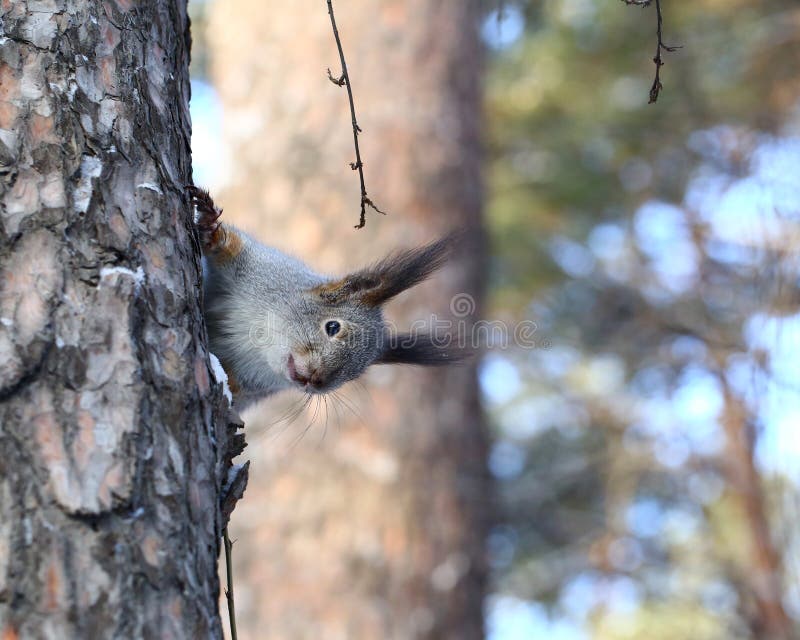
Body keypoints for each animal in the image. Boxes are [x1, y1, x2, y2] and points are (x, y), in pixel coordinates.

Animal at [187, 186, 465, 408]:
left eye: (353, 374)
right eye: (333, 327)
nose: (315, 379)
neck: (259, 340)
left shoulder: (254, 388)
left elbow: (236, 390)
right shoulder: (260, 267)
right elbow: (230, 248)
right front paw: (210, 224)